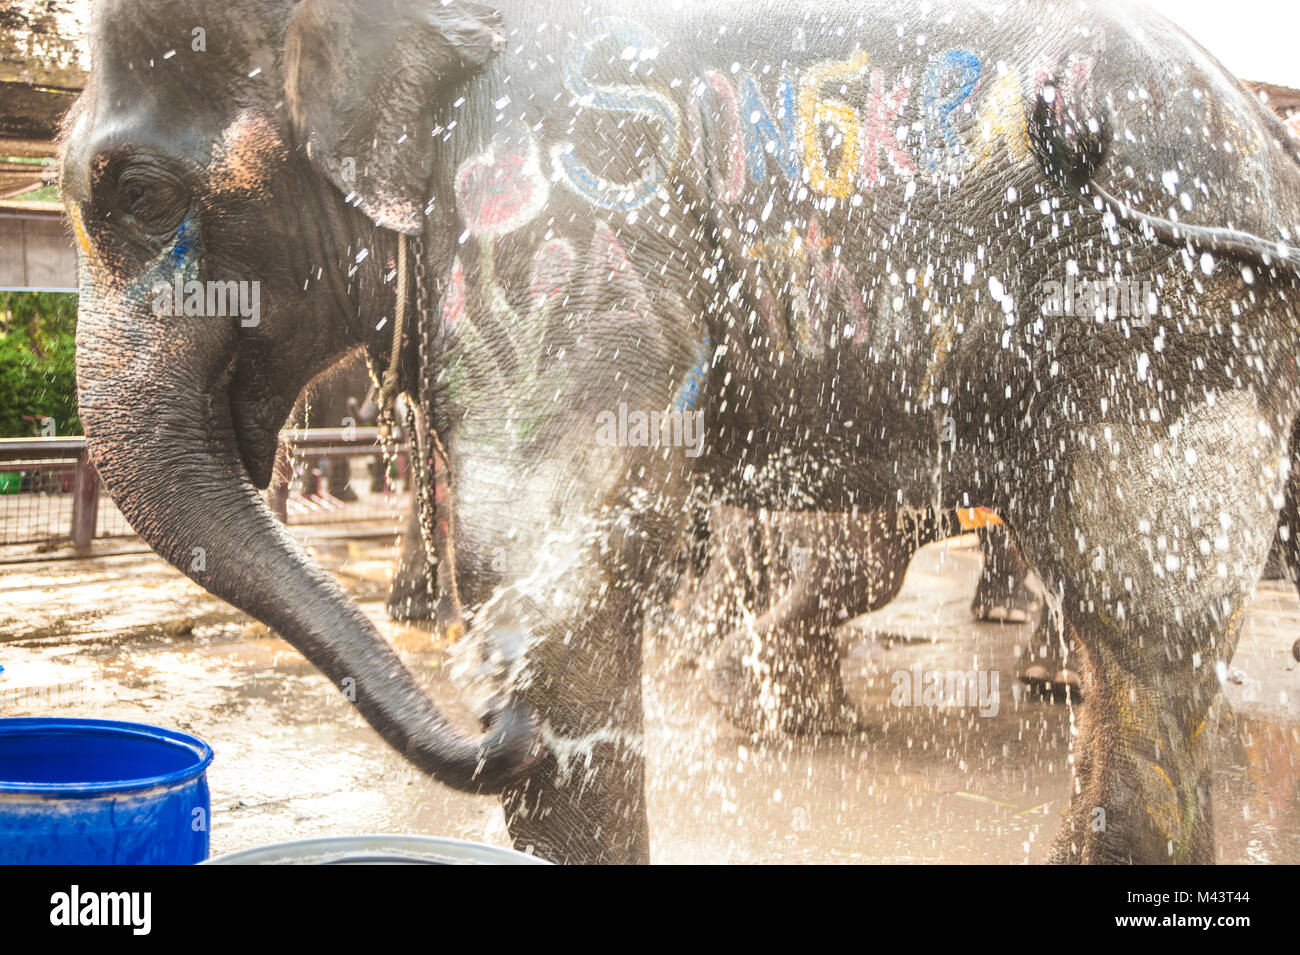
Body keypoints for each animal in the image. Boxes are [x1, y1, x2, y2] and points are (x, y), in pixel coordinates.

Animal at [63, 0, 1300, 864]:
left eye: (135, 195)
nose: (492, 720)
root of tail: (1263, 140)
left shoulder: (559, 212)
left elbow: (560, 560)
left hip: (1163, 318)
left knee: (1139, 612)